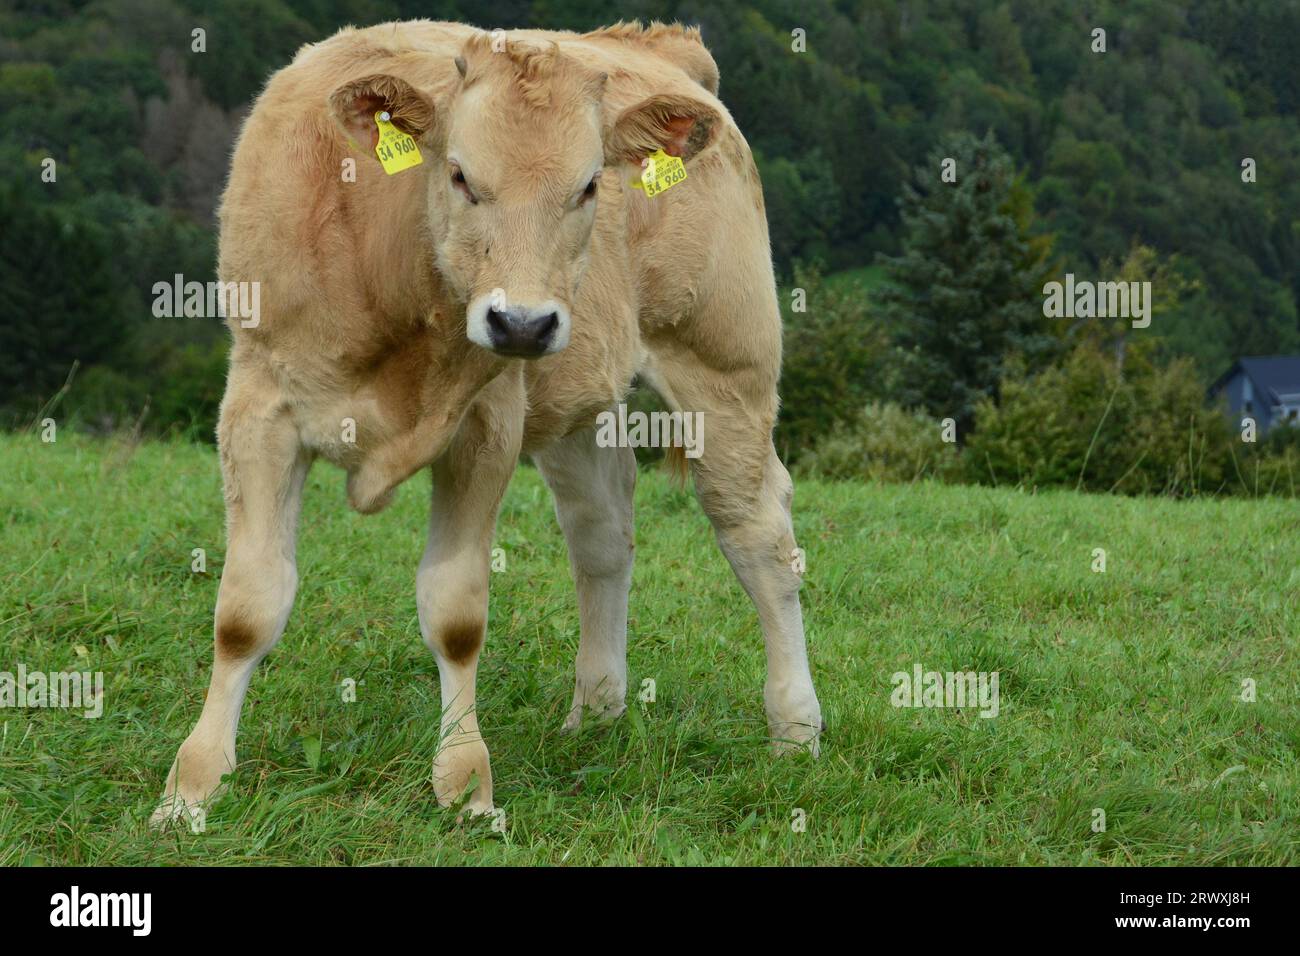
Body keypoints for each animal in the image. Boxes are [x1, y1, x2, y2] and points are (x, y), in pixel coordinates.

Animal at [153, 19, 822, 824]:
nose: (523, 323)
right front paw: (192, 788)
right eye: (461, 176)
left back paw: (794, 730)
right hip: (578, 402)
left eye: (589, 185)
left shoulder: (486, 425)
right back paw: (596, 713)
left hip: (724, 371)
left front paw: (465, 781)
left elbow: (456, 610)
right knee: (602, 534)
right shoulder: (259, 407)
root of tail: (657, 44)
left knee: (758, 537)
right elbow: (247, 608)